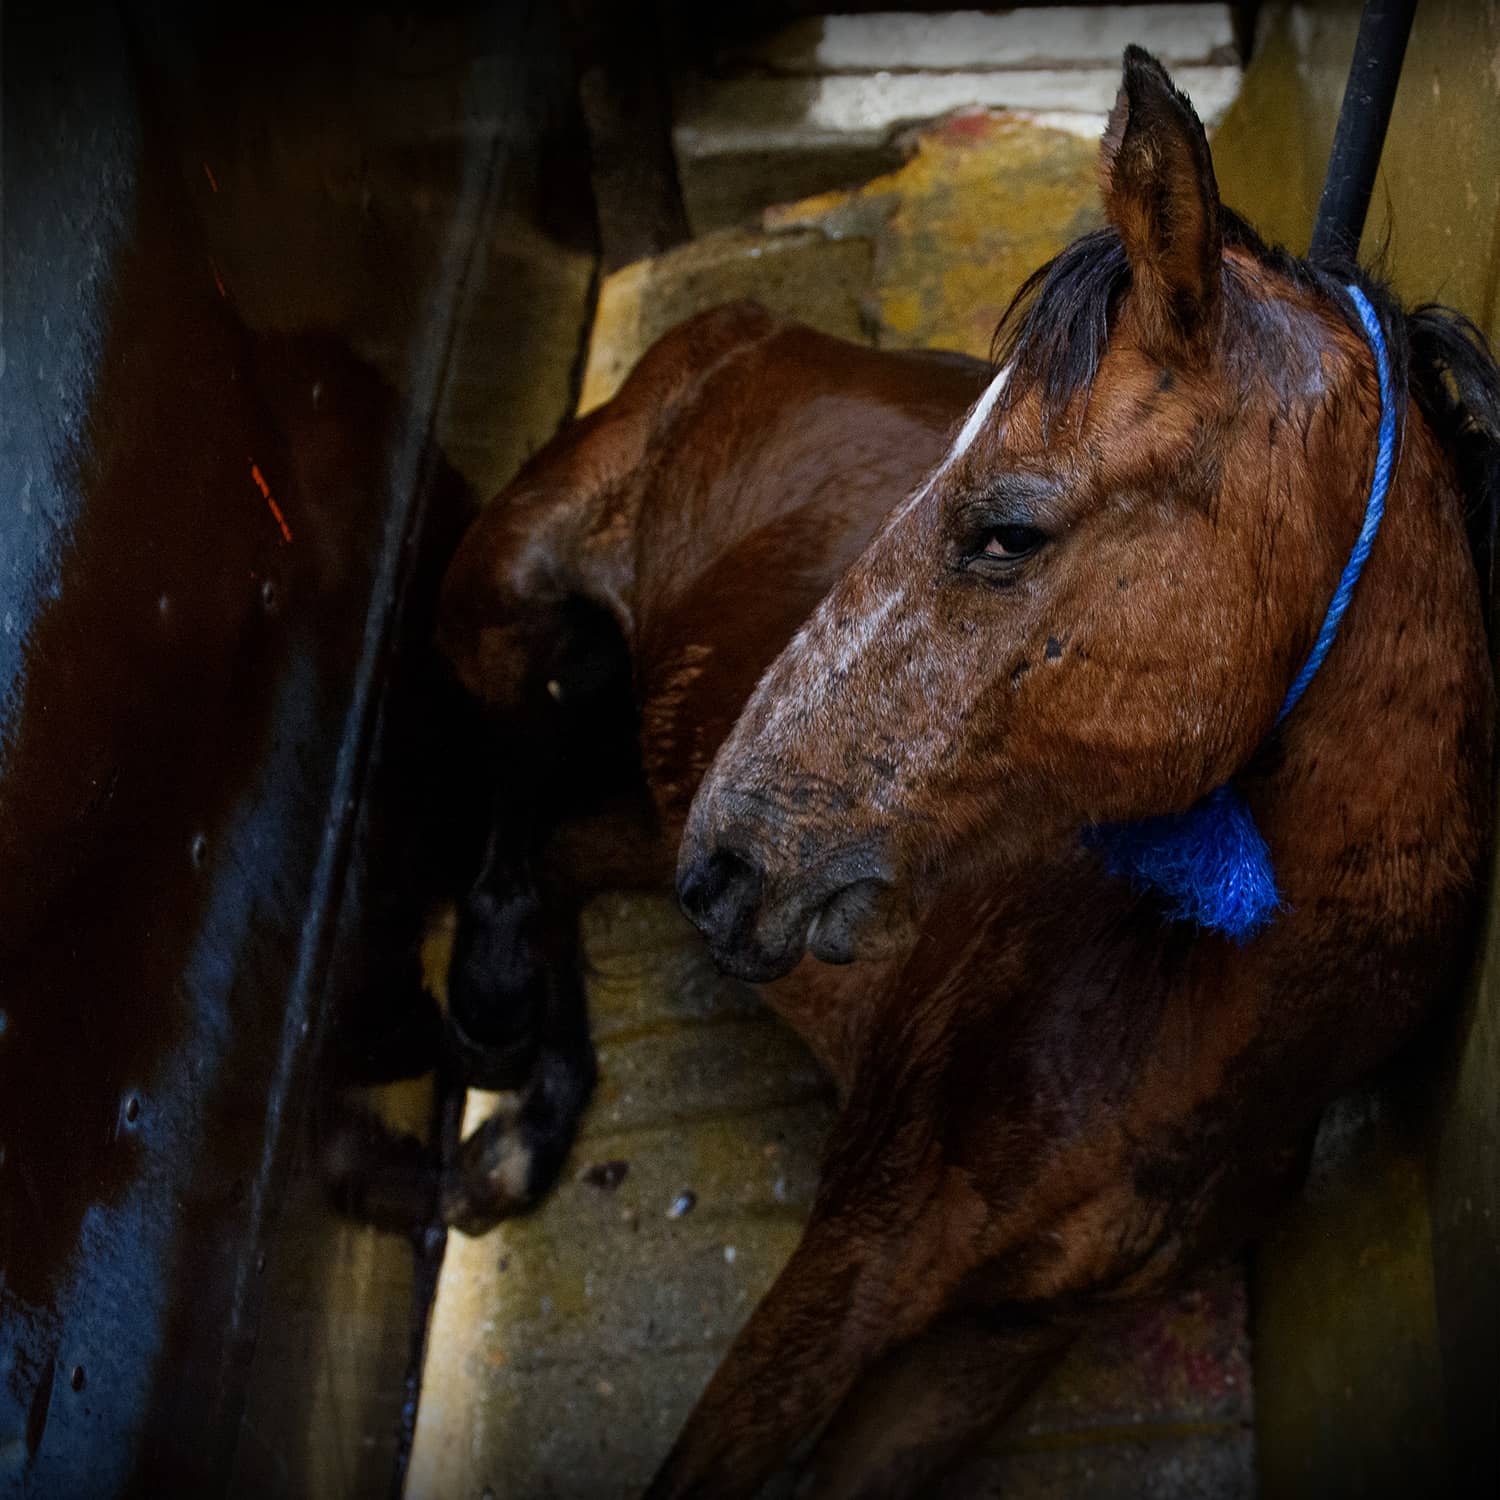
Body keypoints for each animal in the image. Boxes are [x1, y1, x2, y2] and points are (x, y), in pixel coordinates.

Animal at [433, 48, 1499, 1500]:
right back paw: (494, 1020)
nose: (730, 861)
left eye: (1005, 531)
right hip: (500, 602)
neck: (1191, 1027)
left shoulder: (997, 1345)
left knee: (562, 839)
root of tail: (753, 325)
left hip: (645, 806)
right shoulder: (852, 1262)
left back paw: (527, 1120)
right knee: (508, 773)